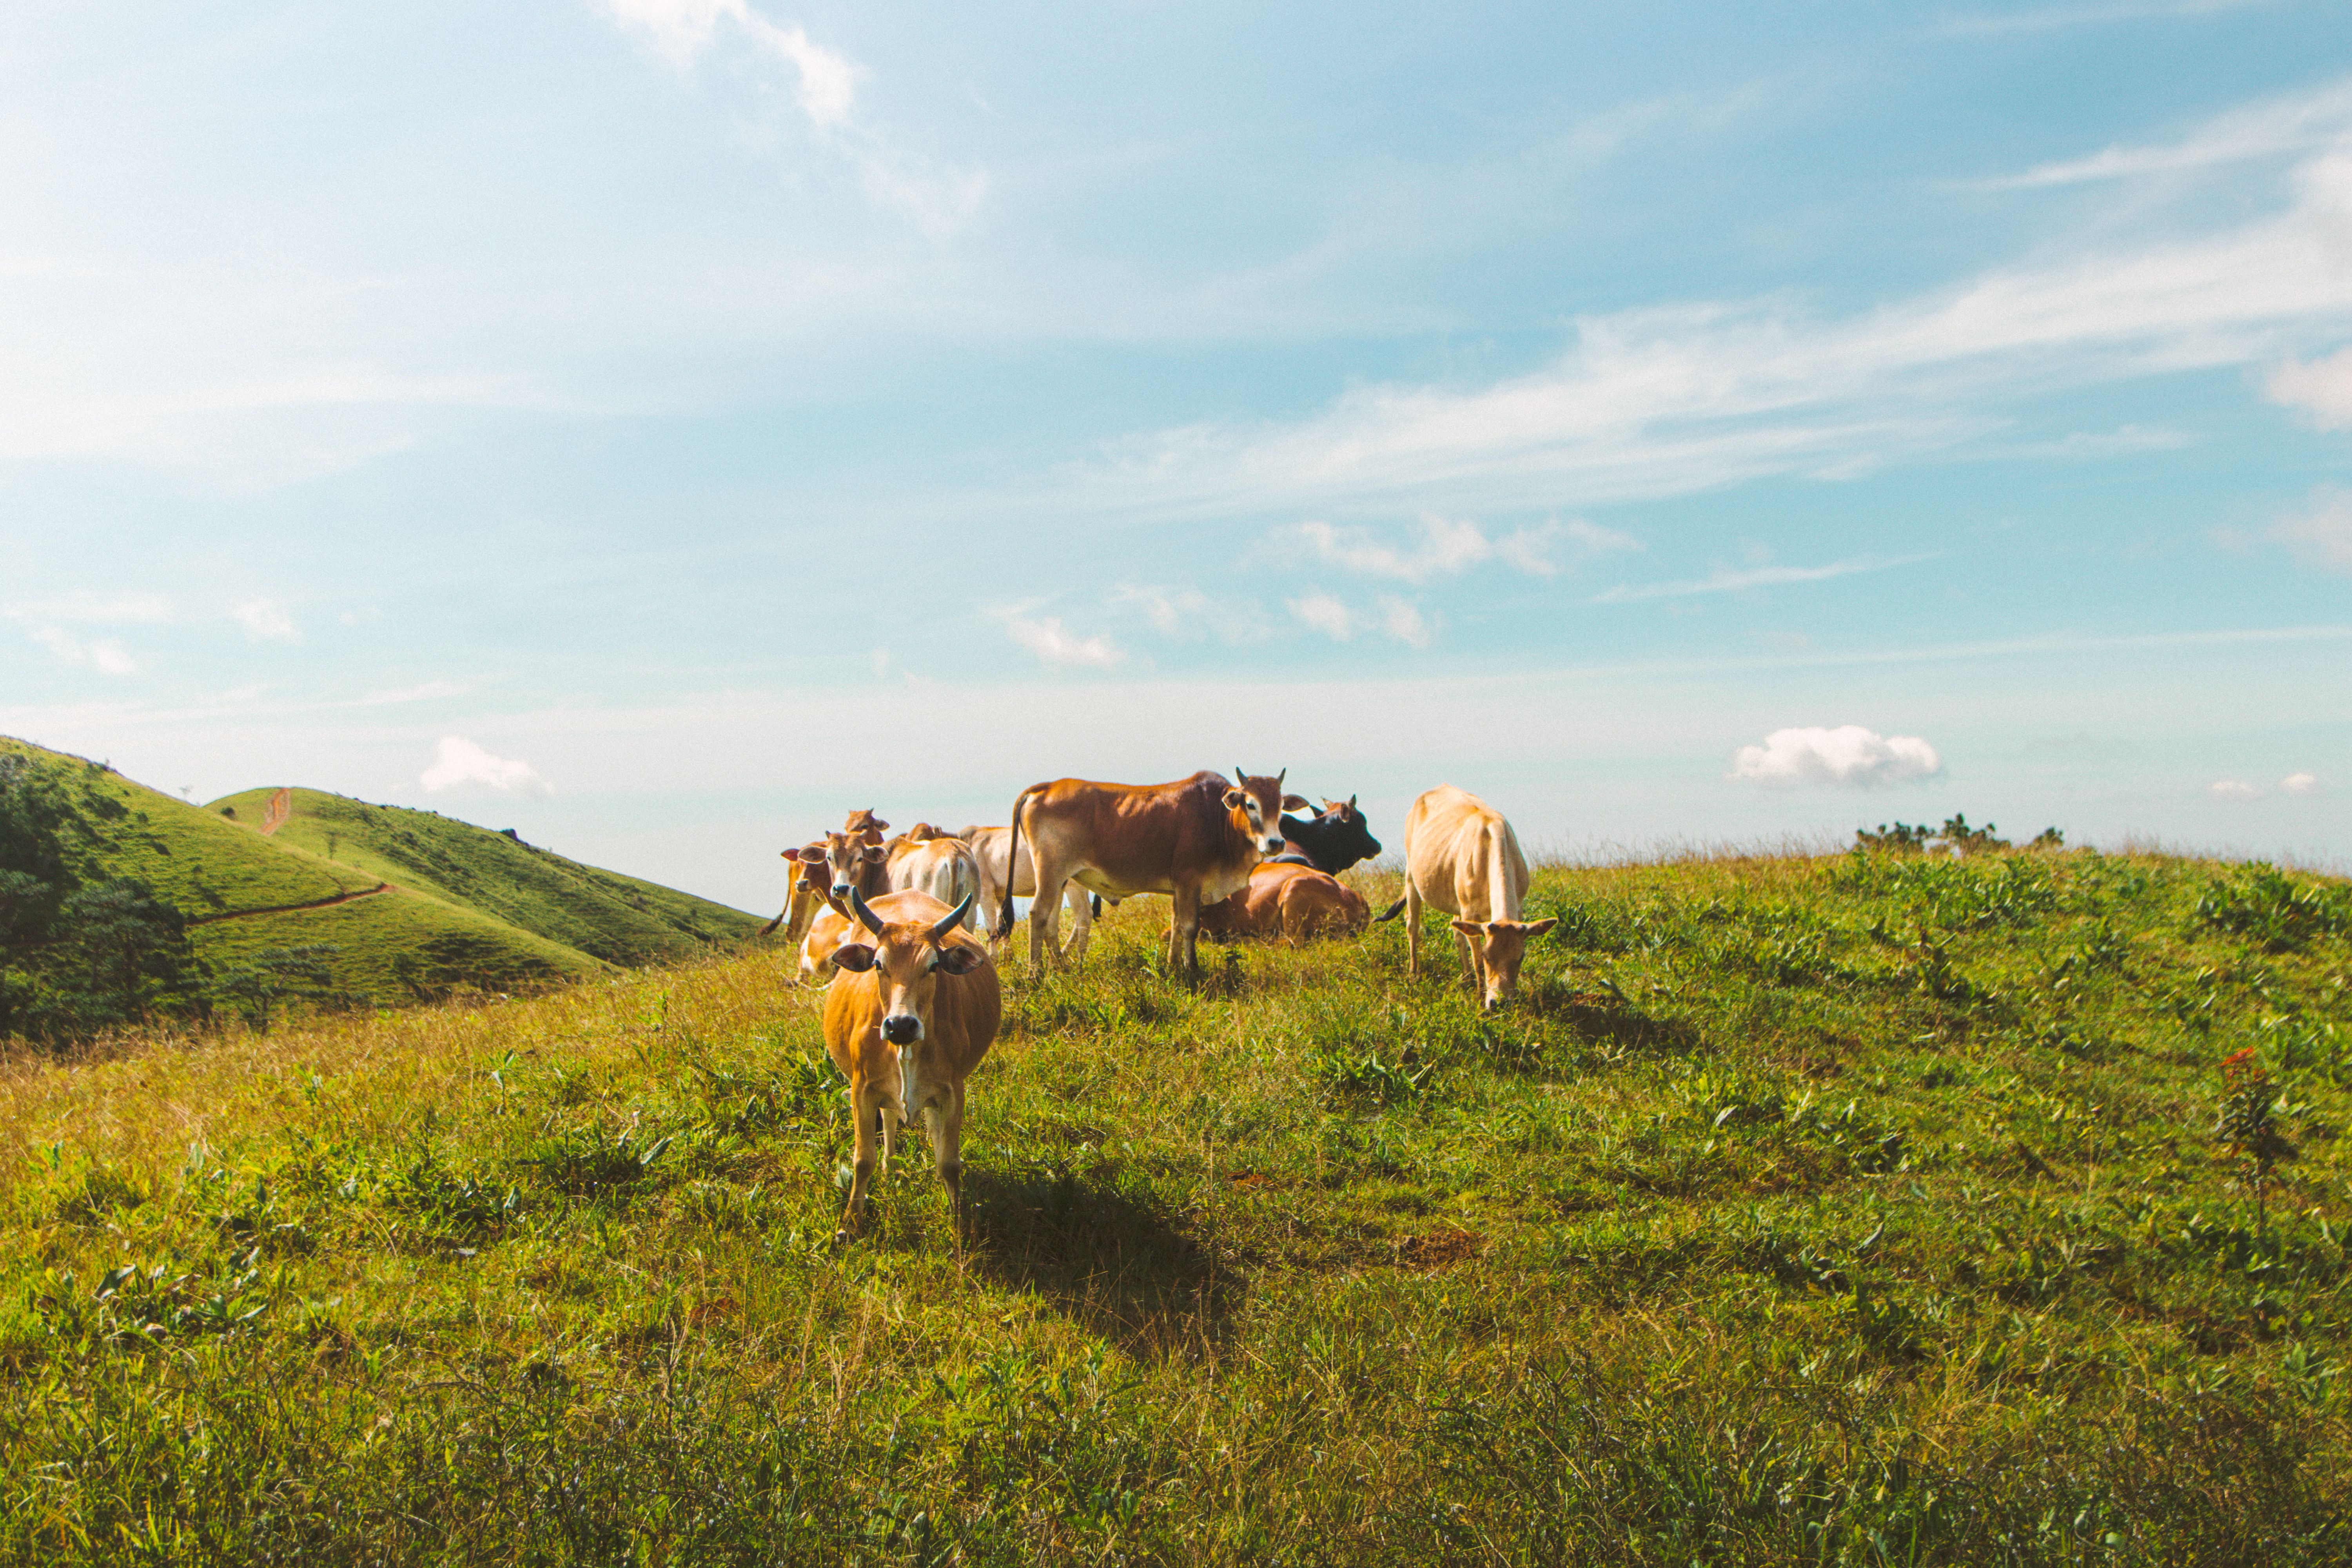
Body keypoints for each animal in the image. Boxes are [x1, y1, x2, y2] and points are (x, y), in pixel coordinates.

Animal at [822, 888, 999, 1245]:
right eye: (879, 964)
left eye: (934, 966)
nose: (901, 1025)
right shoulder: (861, 1090)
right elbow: (862, 1160)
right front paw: (851, 1223)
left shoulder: (953, 1091)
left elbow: (950, 1162)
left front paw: (957, 1221)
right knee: (890, 1117)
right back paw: (890, 1166)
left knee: (932, 1126)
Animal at [961, 824, 1096, 960]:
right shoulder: (1001, 894)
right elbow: (1004, 924)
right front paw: (1008, 958)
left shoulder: (986, 891)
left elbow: (991, 928)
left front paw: (994, 958)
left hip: (1073, 884)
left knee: (1084, 915)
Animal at [1000, 767, 1304, 981]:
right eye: (1251, 804)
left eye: (1280, 805)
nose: (1276, 843)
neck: (1217, 818)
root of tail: (1047, 787)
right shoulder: (1189, 882)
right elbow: (1190, 927)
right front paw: (1192, 968)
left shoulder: (1180, 888)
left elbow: (1177, 926)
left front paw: (1173, 965)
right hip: (1050, 873)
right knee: (1038, 915)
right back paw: (1036, 973)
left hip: (1059, 879)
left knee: (1050, 923)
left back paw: (1061, 967)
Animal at [1380, 784, 1555, 1010]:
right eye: (1488, 956)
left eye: (1520, 957)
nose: (1500, 1003)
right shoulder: (1470, 912)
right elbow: (1477, 960)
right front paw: (1481, 999)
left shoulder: (1518, 908)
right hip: (1412, 876)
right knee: (1413, 925)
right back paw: (1413, 973)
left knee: (1456, 930)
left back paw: (1465, 977)